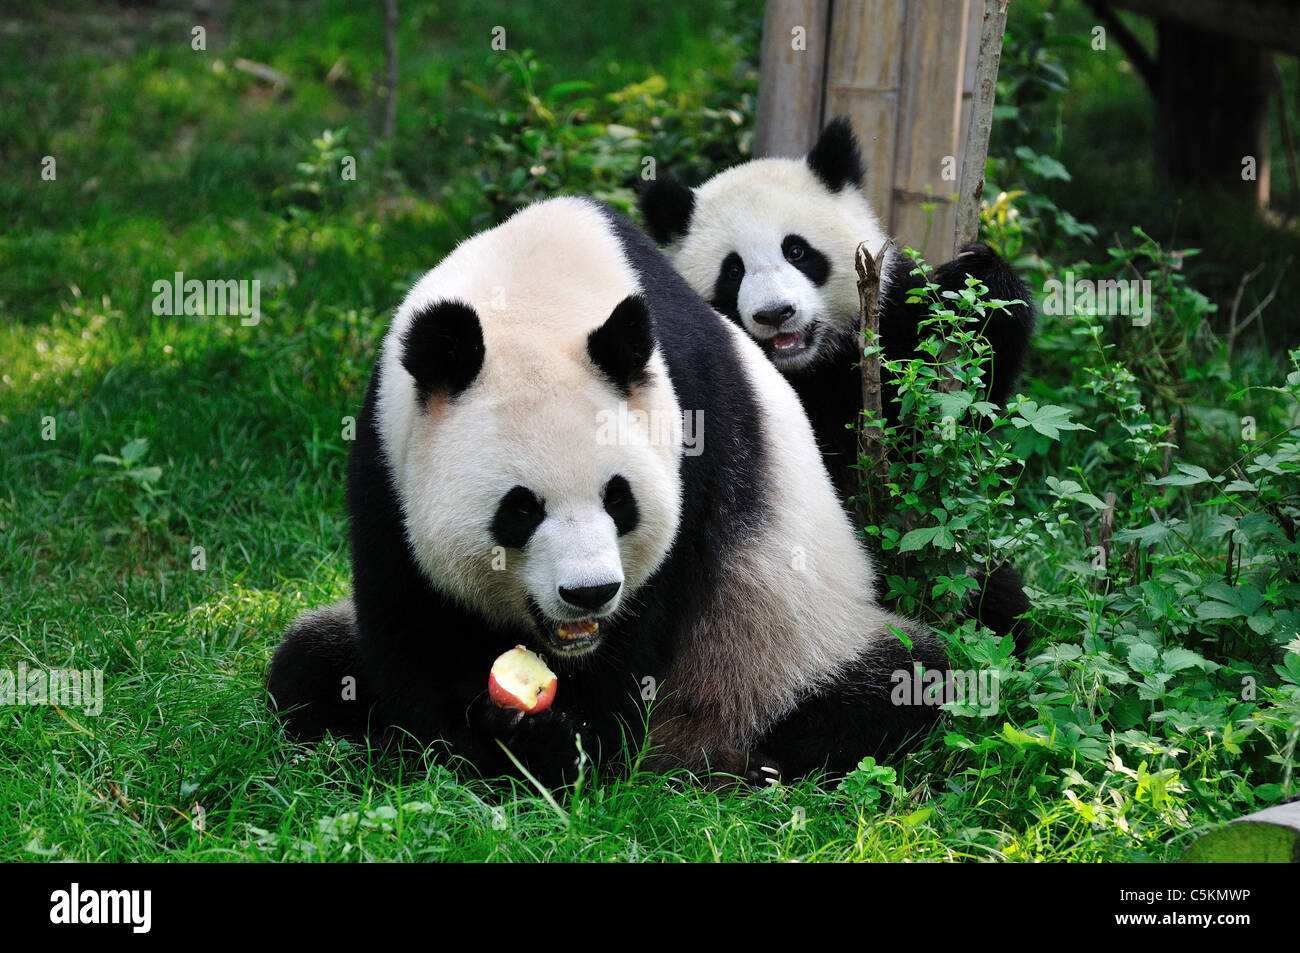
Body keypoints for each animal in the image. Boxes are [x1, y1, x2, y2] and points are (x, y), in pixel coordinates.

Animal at [267, 195, 949, 788]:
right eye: (520, 509)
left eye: (618, 499)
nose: (589, 593)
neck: (531, 299)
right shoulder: (390, 449)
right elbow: (409, 618)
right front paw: (487, 740)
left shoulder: (694, 437)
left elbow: (639, 638)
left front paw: (564, 749)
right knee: (305, 667)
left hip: (784, 647)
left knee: (901, 683)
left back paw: (756, 765)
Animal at [638, 117, 1034, 649]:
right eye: (733, 270)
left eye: (797, 250)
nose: (776, 314)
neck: (808, 367)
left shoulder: (890, 322)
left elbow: (966, 408)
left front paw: (977, 278)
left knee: (995, 594)